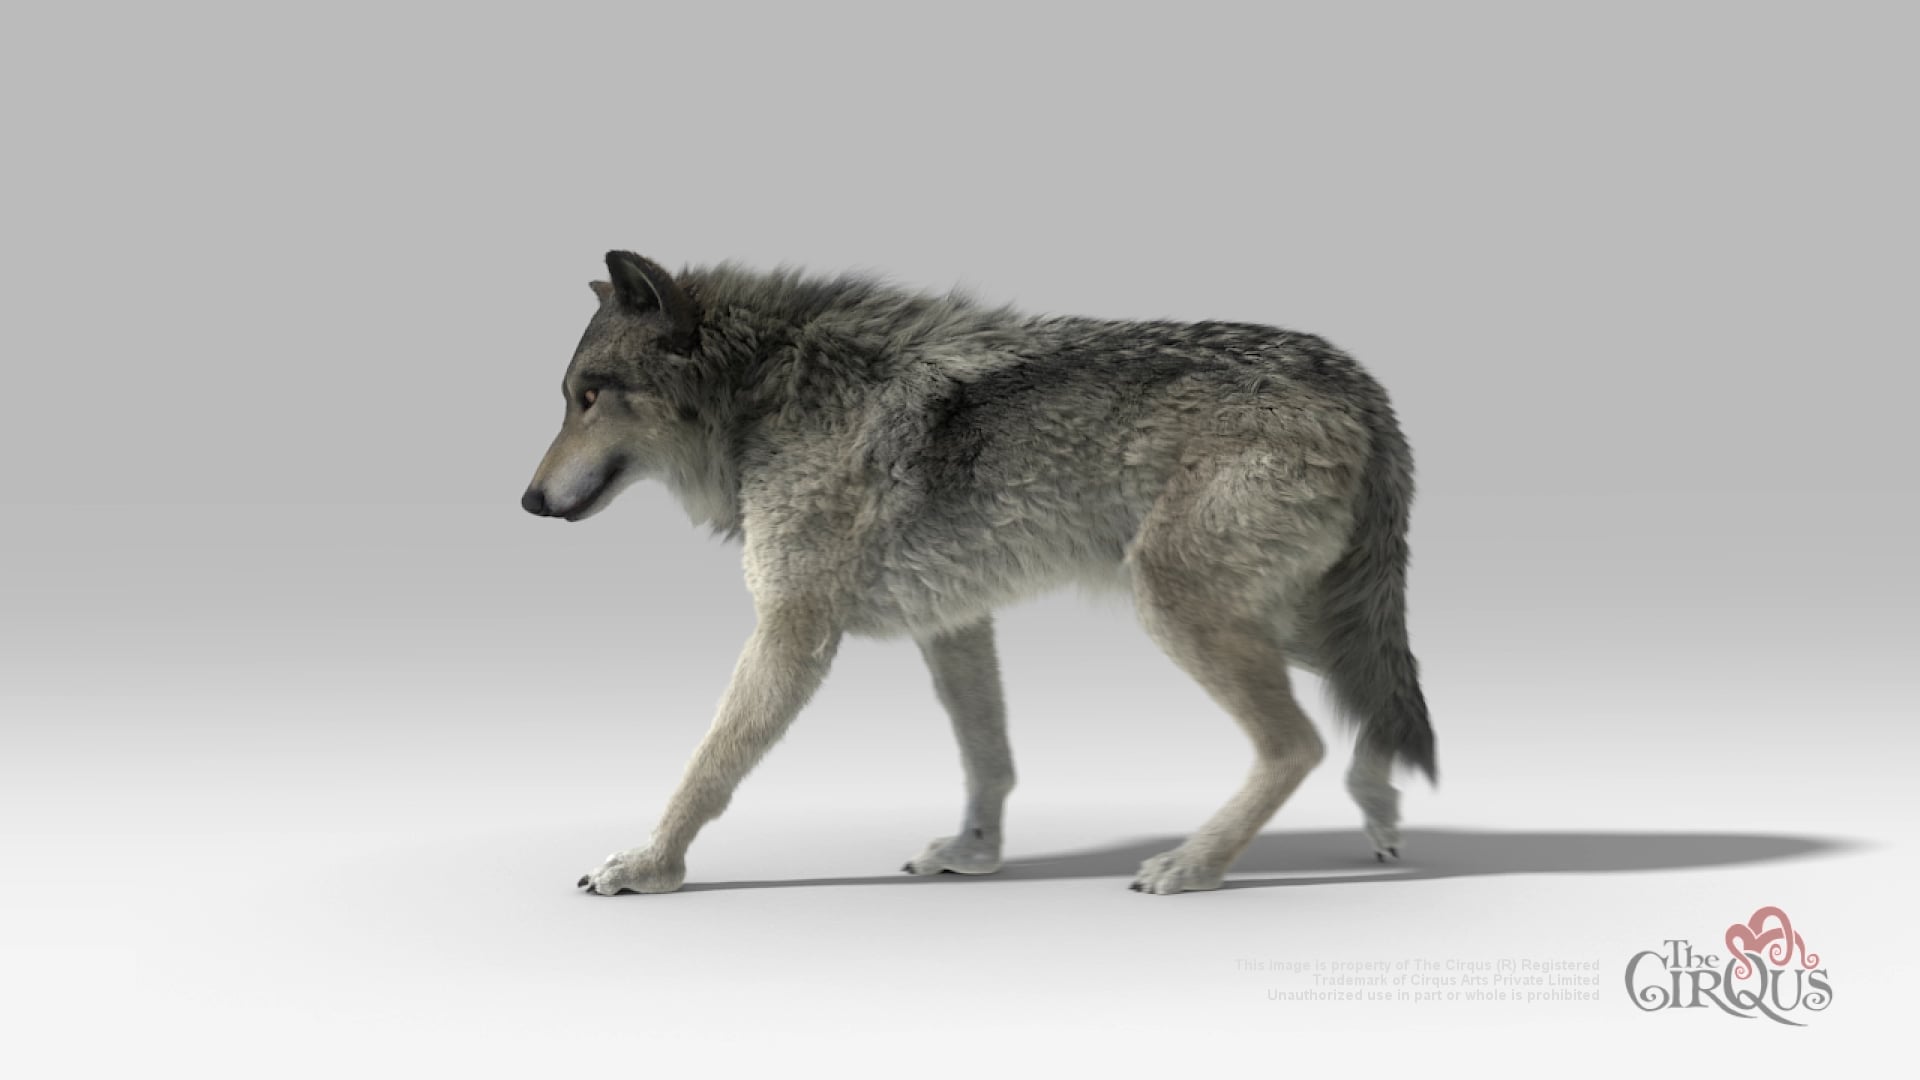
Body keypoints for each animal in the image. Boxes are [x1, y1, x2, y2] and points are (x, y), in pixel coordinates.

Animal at [523, 251, 1436, 896]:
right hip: (1288, 614)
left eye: (590, 396)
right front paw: (976, 853)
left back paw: (1195, 866)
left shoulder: (792, 630)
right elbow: (987, 754)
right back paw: (1380, 812)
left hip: (1181, 608)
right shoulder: (952, 622)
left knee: (1298, 741)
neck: (767, 397)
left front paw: (649, 864)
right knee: (1377, 696)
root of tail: (1360, 382)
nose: (528, 501)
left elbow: (708, 766)